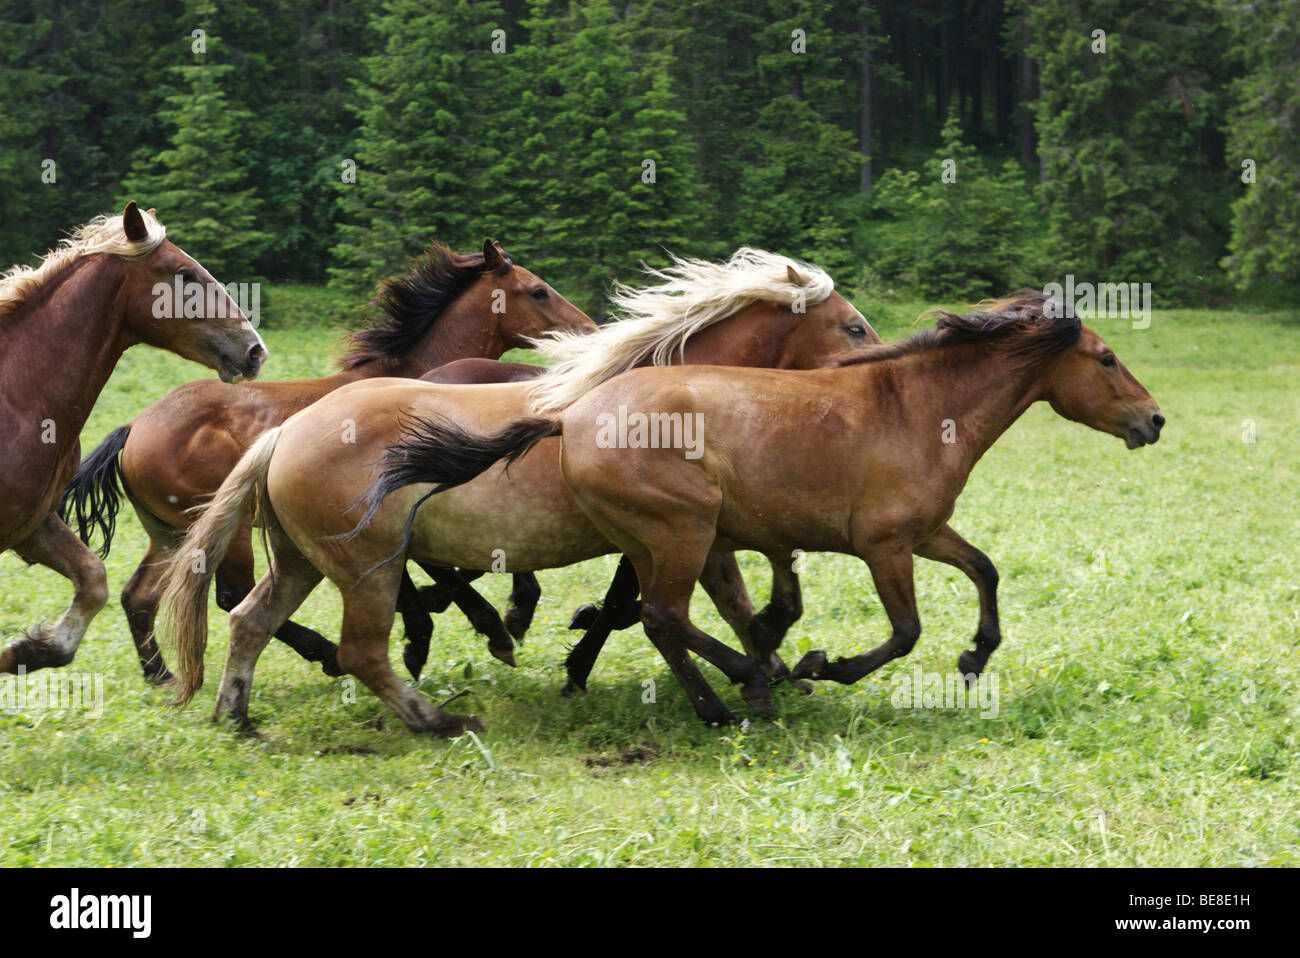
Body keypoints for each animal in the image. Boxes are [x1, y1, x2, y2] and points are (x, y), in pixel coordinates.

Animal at [0, 202, 266, 676]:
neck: (18, 397)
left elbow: (94, 582)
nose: (254, 350)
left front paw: (26, 650)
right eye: (184, 274)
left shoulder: (30, 524)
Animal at [60, 239, 595, 684]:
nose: (589, 330)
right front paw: (478, 624)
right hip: (227, 528)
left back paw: (160, 674)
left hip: (171, 533)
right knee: (233, 596)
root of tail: (134, 428)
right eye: (538, 291)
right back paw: (324, 654)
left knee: (139, 595)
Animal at [157, 248, 882, 734]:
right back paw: (440, 718)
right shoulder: (671, 536)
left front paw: (775, 667)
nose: (879, 368)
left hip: (302, 560)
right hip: (368, 567)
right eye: (852, 326)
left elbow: (730, 602)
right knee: (361, 650)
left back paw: (236, 715)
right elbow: (660, 609)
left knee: (250, 620)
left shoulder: (695, 535)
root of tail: (284, 433)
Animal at [341, 292, 1165, 727]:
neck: (916, 408)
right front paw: (824, 665)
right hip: (682, 530)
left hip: (667, 539)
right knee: (661, 616)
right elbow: (903, 632)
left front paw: (974, 657)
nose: (1153, 421)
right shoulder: (884, 545)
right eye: (1105, 359)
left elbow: (986, 571)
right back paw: (730, 696)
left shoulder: (925, 532)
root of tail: (569, 418)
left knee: (655, 617)